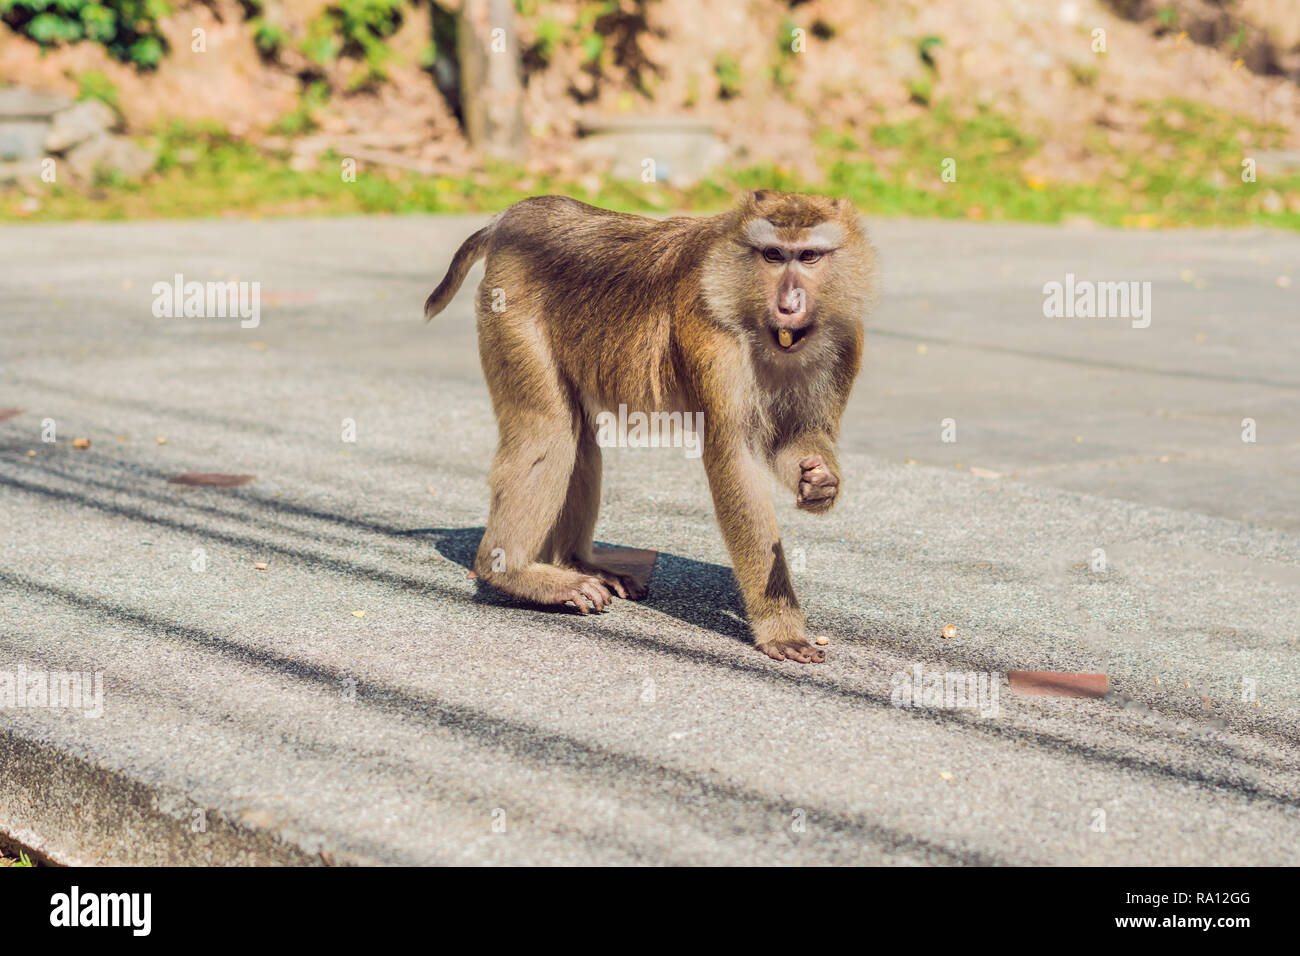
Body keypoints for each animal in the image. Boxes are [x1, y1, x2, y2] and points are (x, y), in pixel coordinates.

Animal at [424, 190, 876, 663]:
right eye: (773, 255)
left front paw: (821, 482)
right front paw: (779, 626)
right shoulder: (713, 336)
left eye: (809, 257)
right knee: (550, 430)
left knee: (579, 436)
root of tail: (514, 217)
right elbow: (734, 457)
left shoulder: (846, 338)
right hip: (509, 307)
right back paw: (513, 572)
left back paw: (575, 562)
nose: (789, 305)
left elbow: (800, 436)